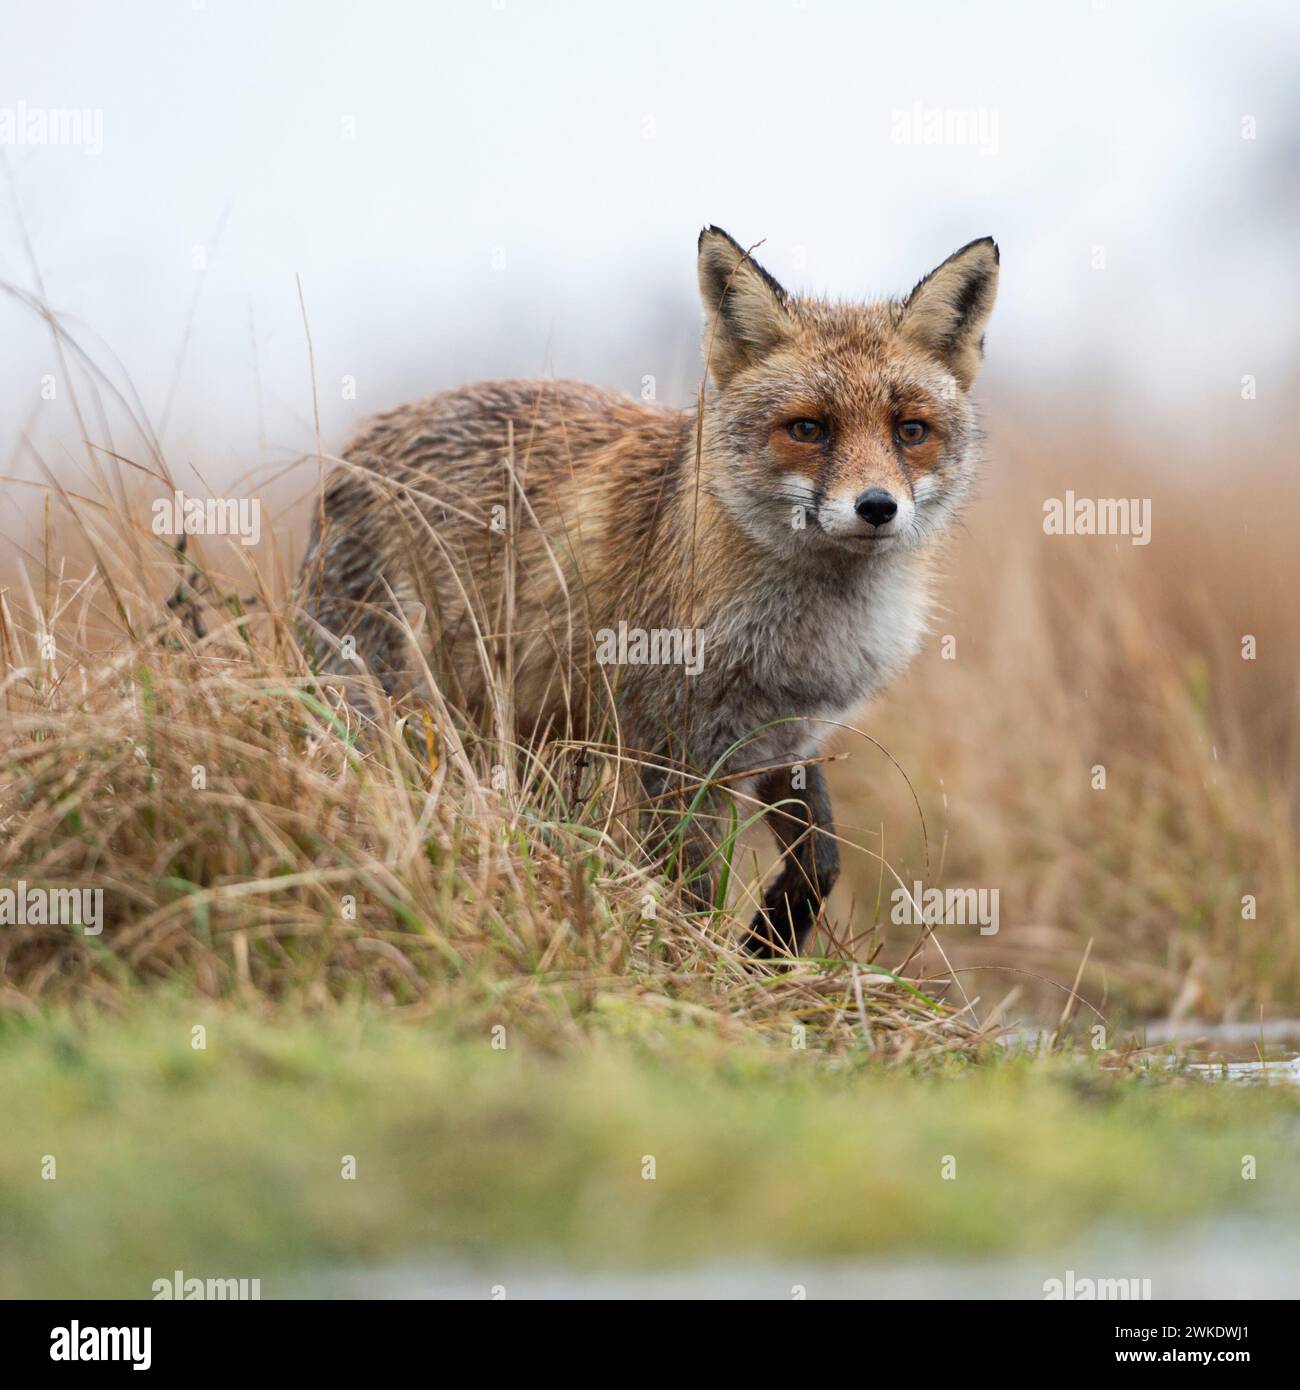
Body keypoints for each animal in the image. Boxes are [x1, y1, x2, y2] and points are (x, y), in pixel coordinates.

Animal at [296, 226, 999, 956]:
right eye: (808, 428)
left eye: (910, 431)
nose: (878, 507)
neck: (802, 640)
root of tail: (357, 445)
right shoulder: (675, 749)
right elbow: (690, 894)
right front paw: (710, 967)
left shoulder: (787, 740)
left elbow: (820, 863)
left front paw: (766, 949)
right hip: (385, 699)